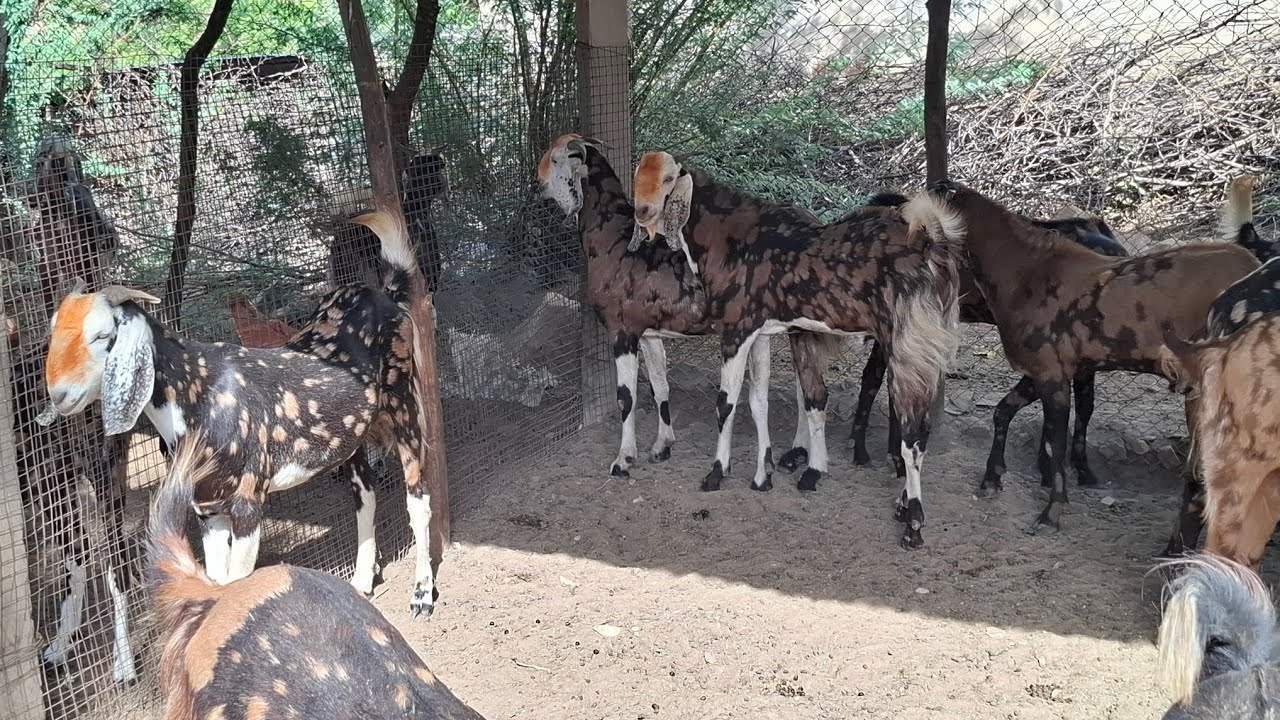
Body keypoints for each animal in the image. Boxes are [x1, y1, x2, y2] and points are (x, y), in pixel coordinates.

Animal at [44, 209, 441, 617]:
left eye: (101, 334)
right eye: (52, 334)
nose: (58, 394)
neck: (198, 395)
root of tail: (387, 294)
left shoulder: (249, 504)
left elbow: (237, 584)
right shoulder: (208, 510)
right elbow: (217, 583)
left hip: (405, 410)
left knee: (418, 501)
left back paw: (422, 595)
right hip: (353, 441)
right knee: (366, 498)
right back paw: (362, 582)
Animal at [537, 134, 840, 490]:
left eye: (557, 158)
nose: (538, 184)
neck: (614, 238)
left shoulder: (621, 329)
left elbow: (626, 396)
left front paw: (624, 460)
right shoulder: (649, 332)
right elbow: (659, 385)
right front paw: (662, 446)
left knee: (814, 393)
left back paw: (811, 469)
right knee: (801, 391)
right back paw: (794, 456)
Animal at [632, 151, 960, 549]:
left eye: (669, 178)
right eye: (637, 175)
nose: (643, 210)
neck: (728, 237)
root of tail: (932, 243)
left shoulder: (735, 330)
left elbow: (726, 403)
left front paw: (716, 472)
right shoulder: (760, 333)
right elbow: (759, 401)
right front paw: (764, 474)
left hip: (907, 347)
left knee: (913, 435)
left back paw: (913, 523)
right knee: (918, 428)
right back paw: (901, 506)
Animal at [912, 179, 1258, 535]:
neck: (1025, 273)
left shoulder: (1051, 376)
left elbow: (1055, 445)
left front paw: (1051, 513)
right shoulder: (1045, 371)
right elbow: (1003, 411)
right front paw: (992, 478)